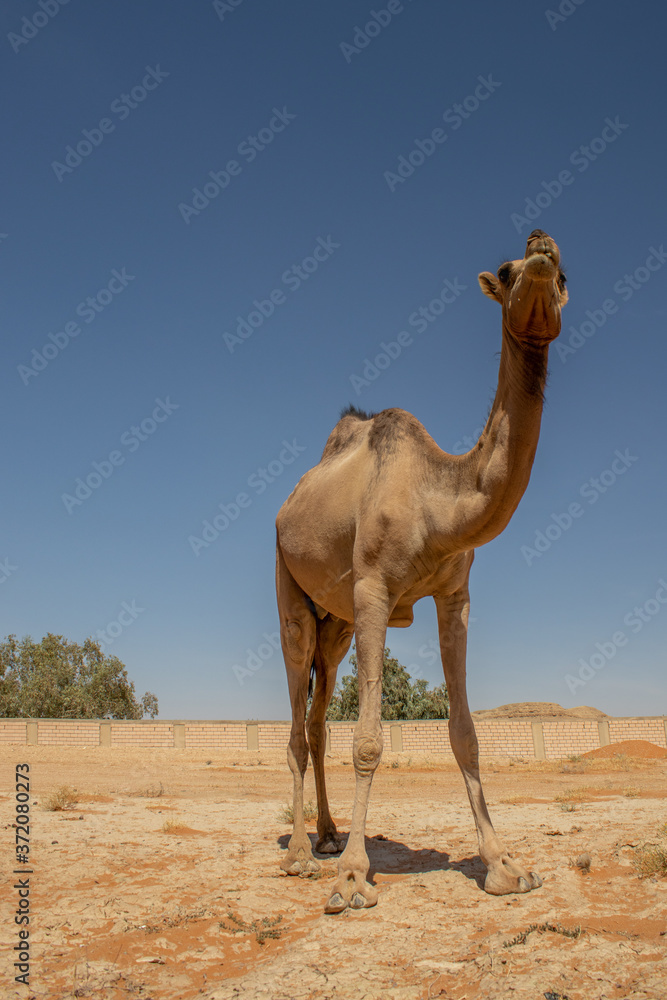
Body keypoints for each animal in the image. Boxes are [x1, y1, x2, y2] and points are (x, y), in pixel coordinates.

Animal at [275, 229, 568, 913]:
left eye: (565, 275)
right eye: (508, 271)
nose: (541, 245)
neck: (438, 504)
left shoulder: (454, 595)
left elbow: (465, 733)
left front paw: (504, 866)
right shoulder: (374, 589)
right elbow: (368, 739)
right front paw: (353, 879)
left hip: (336, 625)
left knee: (319, 717)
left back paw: (327, 835)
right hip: (289, 589)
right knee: (298, 720)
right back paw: (300, 854)